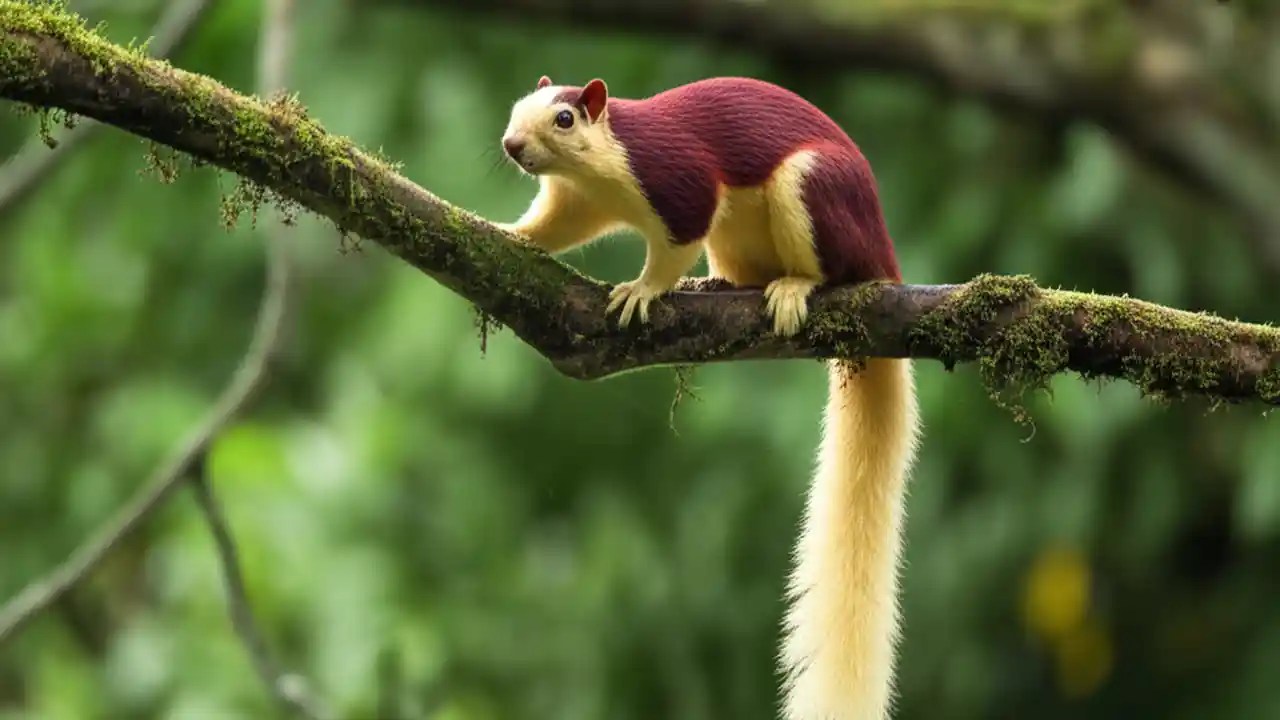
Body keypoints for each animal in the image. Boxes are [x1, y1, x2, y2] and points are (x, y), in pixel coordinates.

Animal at [495, 75, 922, 720]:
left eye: (564, 119)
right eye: (519, 108)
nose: (512, 144)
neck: (601, 171)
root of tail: (886, 257)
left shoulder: (677, 181)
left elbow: (676, 240)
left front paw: (642, 290)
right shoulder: (577, 200)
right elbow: (554, 227)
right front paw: (503, 232)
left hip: (813, 191)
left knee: (836, 270)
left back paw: (795, 286)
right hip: (739, 236)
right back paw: (716, 282)